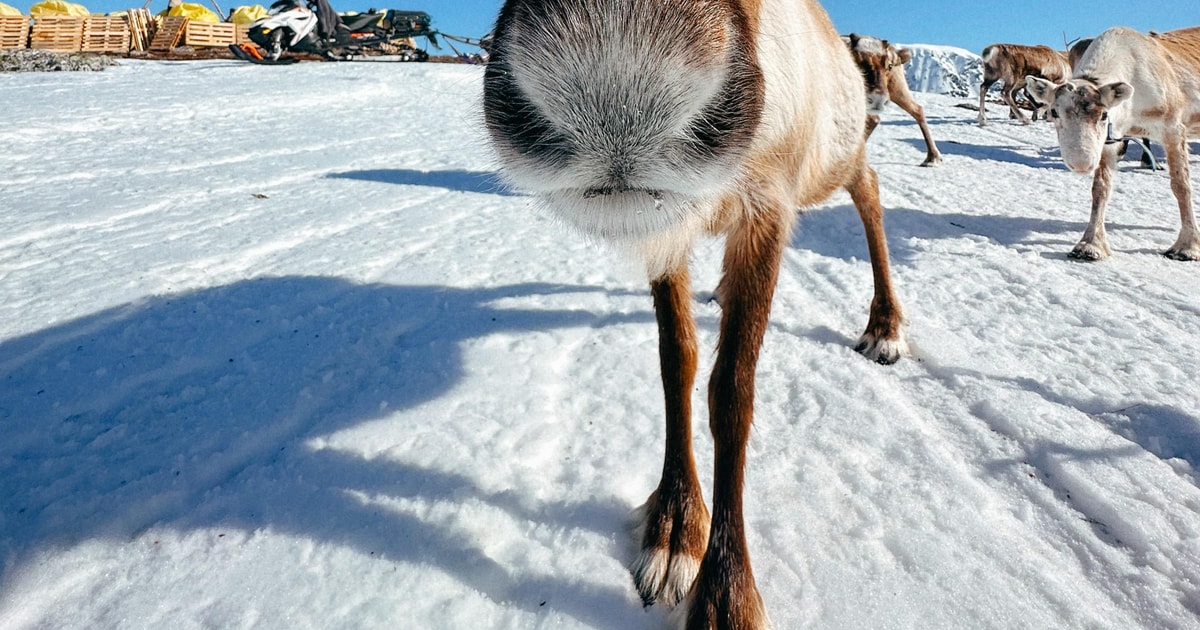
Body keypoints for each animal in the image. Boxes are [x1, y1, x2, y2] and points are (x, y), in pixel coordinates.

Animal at [482, 0, 908, 627]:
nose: (615, 72)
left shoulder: (770, 207)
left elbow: (732, 392)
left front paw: (726, 593)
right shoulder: (665, 232)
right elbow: (676, 361)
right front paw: (676, 525)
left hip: (833, 160)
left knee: (869, 188)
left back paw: (885, 325)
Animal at [1026, 26, 1200, 261]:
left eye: (1103, 114)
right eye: (1054, 112)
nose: (1082, 163)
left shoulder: (1173, 128)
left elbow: (1181, 185)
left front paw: (1187, 246)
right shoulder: (1110, 141)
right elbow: (1100, 189)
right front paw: (1090, 245)